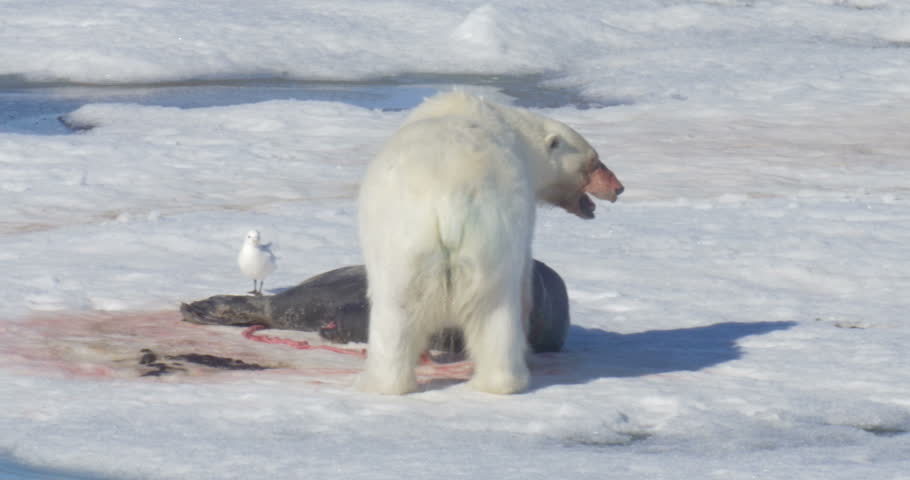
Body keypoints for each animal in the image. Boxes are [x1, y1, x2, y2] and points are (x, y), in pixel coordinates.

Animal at [357, 92, 623, 394]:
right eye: (594, 162)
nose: (618, 188)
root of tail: (447, 200)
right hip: (487, 237)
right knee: (496, 306)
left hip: (406, 243)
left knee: (397, 309)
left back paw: (386, 383)